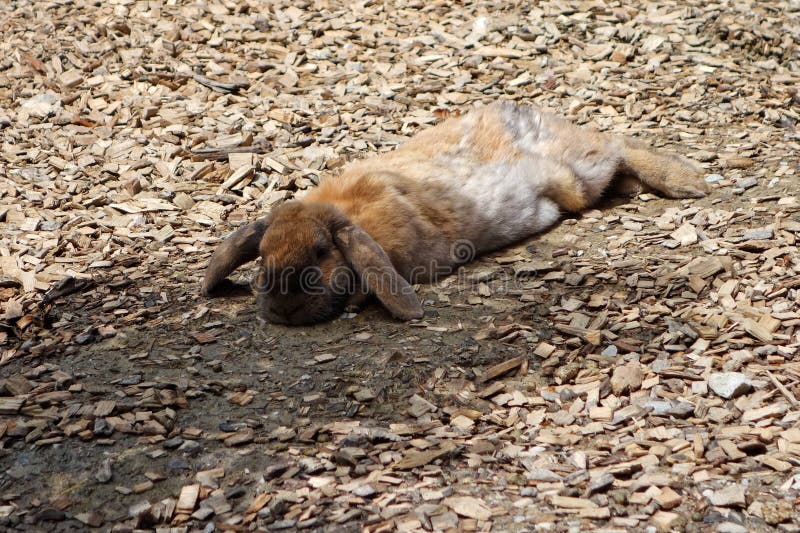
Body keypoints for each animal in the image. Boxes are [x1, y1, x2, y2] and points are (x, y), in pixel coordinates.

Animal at [202, 101, 708, 325]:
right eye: (263, 255)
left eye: (322, 251)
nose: (280, 306)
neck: (352, 215)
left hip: (579, 174)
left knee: (619, 147)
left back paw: (688, 181)